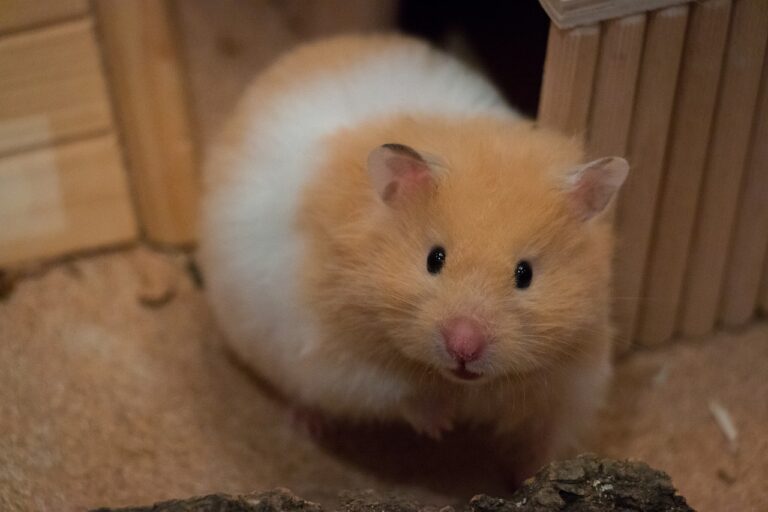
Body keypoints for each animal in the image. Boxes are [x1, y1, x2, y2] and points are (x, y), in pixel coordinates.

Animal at [198, 34, 628, 481]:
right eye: (433, 259)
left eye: (524, 274)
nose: (464, 346)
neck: (464, 383)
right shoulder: (338, 363)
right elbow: (397, 393)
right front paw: (442, 425)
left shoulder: (573, 381)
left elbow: (546, 439)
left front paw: (533, 475)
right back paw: (309, 424)